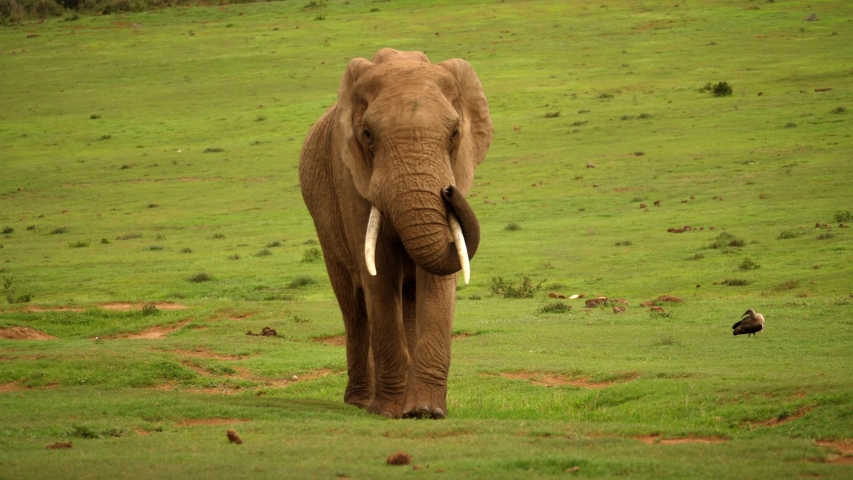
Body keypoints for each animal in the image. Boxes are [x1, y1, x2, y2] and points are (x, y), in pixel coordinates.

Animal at [298, 48, 492, 419]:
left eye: (455, 133)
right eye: (368, 134)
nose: (448, 191)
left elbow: (437, 279)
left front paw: (425, 412)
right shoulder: (350, 176)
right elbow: (379, 273)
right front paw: (388, 412)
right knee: (353, 306)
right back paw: (361, 402)